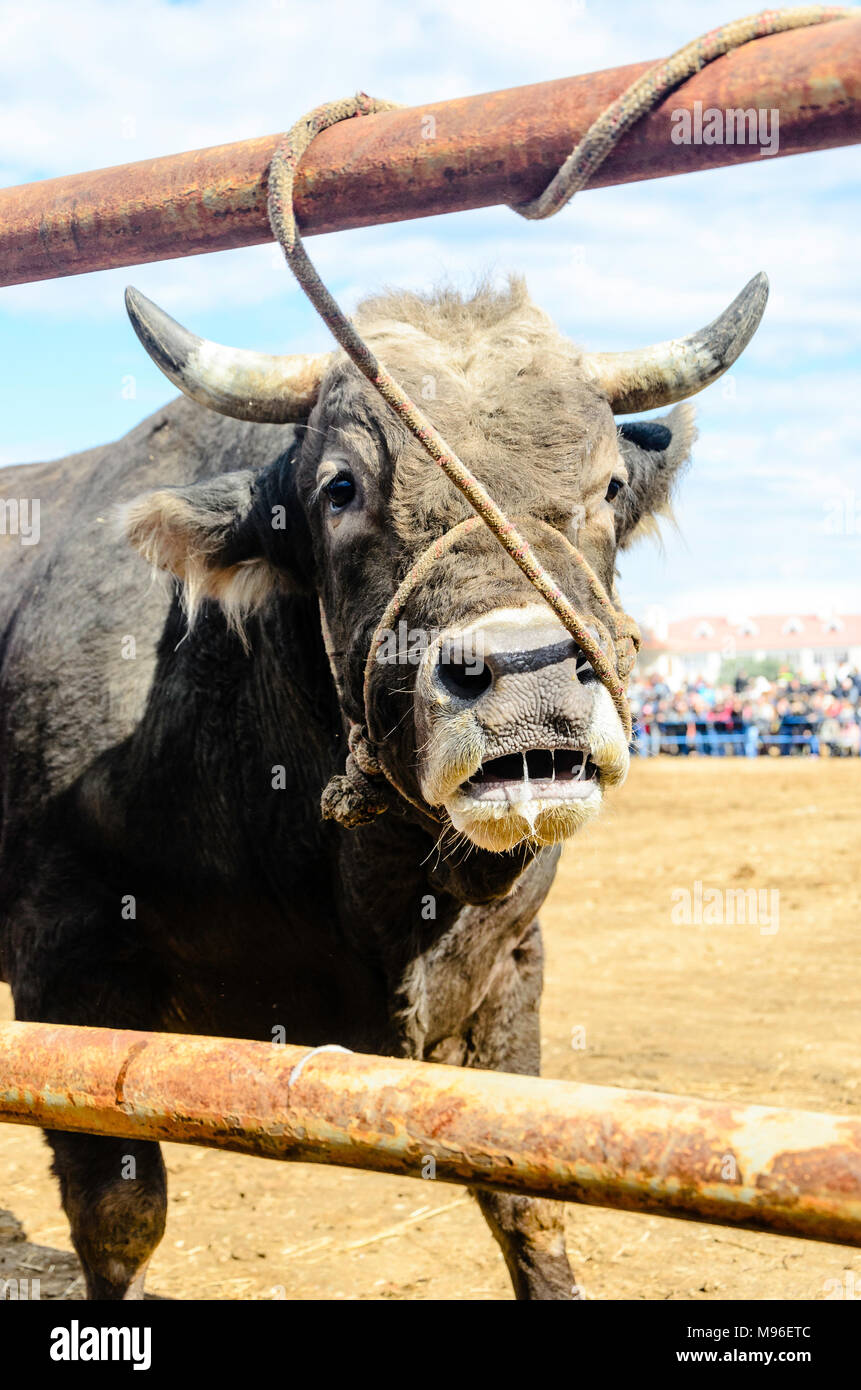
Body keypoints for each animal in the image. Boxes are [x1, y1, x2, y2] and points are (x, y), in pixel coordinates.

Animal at [0, 271, 767, 1299]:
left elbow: (527, 1195)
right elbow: (119, 1220)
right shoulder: (66, 961)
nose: (526, 678)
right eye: (341, 488)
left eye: (608, 484)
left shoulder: (510, 966)